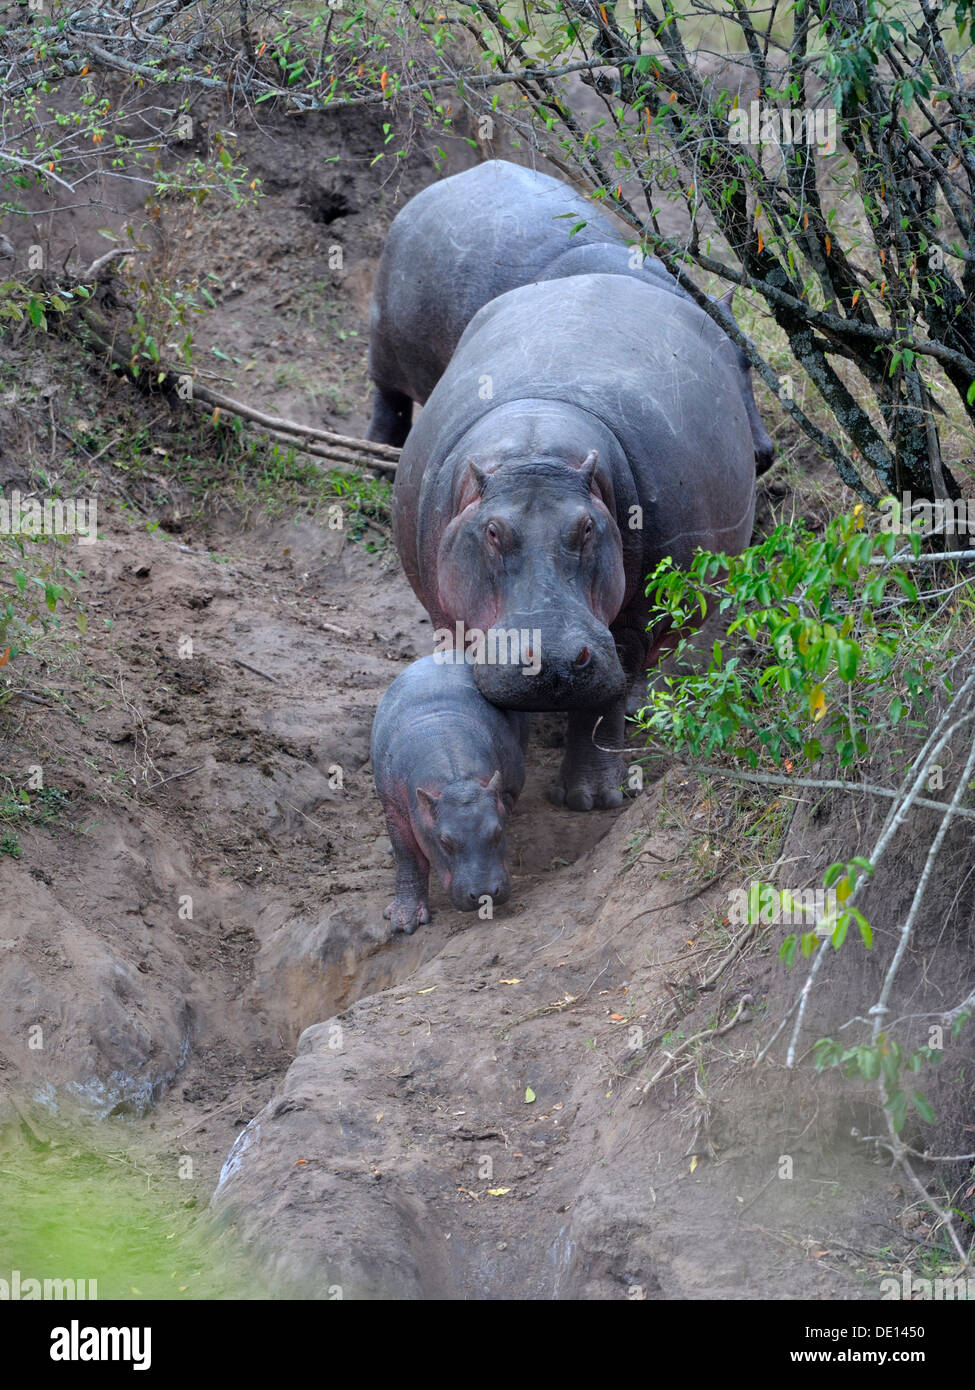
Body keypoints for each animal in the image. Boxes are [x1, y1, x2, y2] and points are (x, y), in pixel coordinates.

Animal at [371, 654, 527, 933]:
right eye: (444, 841)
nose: (485, 894)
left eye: (498, 831)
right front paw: (403, 922)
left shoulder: (507, 791)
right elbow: (408, 856)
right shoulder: (393, 809)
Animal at [392, 274, 756, 811]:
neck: (535, 452)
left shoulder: (633, 621)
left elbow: (601, 705)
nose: (555, 659)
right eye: (493, 531)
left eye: (587, 528)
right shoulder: (449, 617)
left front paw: (592, 799)